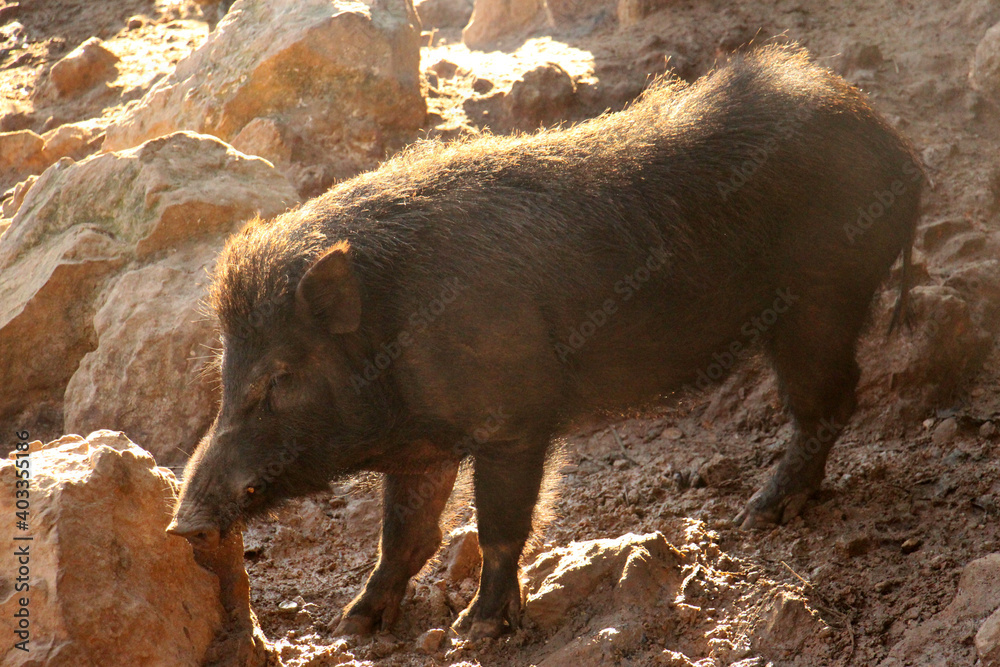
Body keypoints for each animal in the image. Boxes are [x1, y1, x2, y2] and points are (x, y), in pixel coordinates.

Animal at [168, 44, 922, 640]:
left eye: (281, 375)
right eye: (225, 378)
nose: (182, 526)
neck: (392, 333)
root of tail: (896, 143)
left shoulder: (513, 420)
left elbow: (499, 526)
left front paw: (476, 632)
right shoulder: (424, 447)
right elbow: (405, 535)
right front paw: (349, 624)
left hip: (820, 301)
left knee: (830, 401)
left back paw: (762, 511)